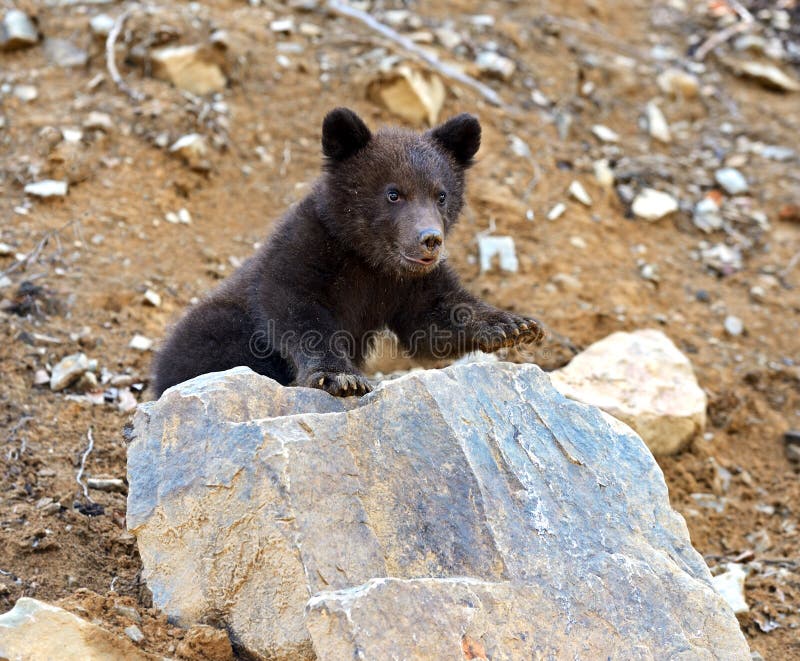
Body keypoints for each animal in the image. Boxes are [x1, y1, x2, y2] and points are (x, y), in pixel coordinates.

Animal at [152, 108, 544, 398]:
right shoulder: (304, 253)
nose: (430, 239)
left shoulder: (405, 285)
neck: (368, 258)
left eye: (441, 194)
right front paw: (340, 376)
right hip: (212, 335)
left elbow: (436, 317)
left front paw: (513, 325)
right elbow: (297, 313)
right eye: (393, 193)